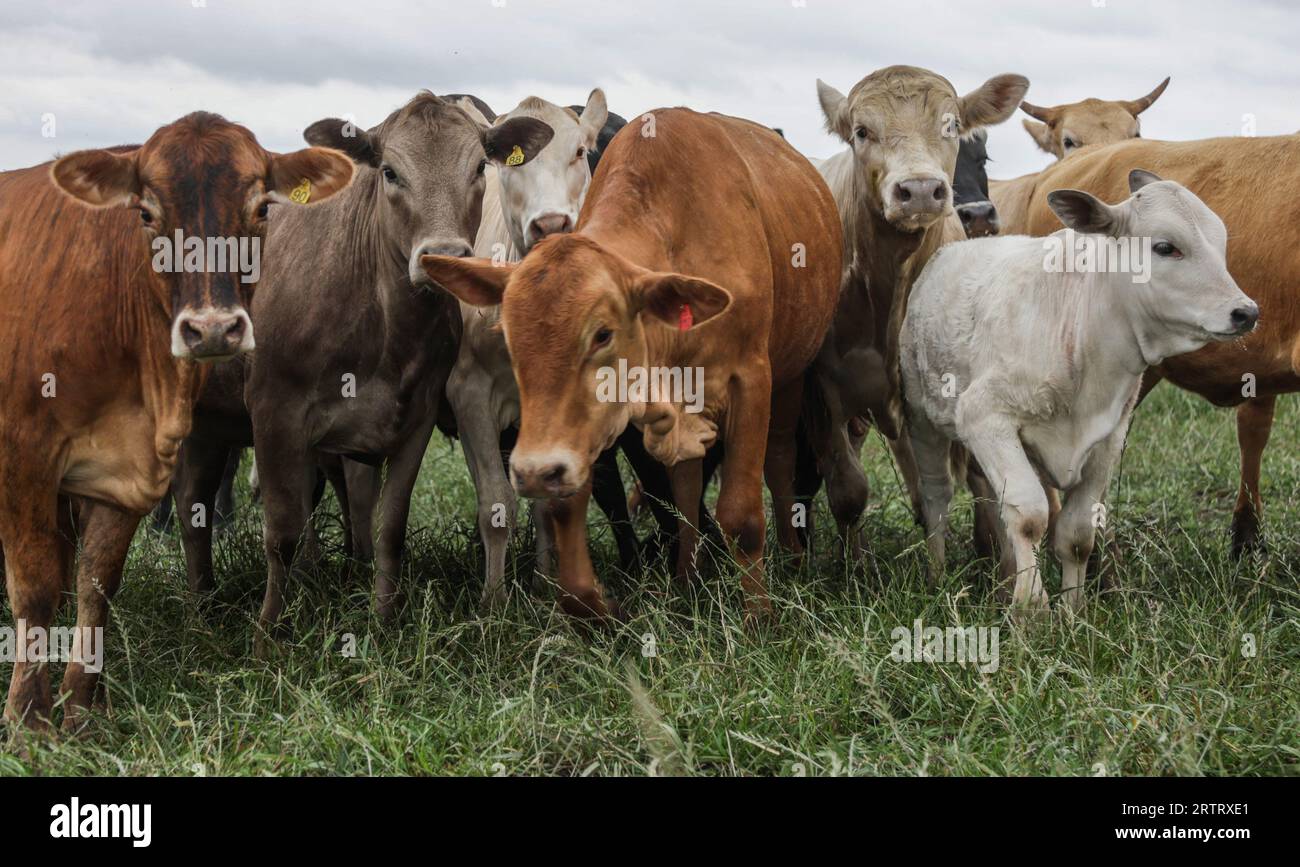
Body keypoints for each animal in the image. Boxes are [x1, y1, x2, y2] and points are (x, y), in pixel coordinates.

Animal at [0, 113, 354, 728]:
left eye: (262, 210)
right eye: (146, 213)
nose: (212, 329)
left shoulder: (126, 469)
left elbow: (98, 581)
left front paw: (81, 713)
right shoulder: (22, 458)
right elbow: (36, 589)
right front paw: (27, 722)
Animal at [242, 93, 552, 647]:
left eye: (479, 167)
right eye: (389, 171)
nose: (442, 256)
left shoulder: (416, 418)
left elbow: (391, 524)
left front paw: (384, 619)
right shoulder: (275, 412)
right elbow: (280, 531)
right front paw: (266, 637)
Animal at [422, 107, 842, 622]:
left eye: (603, 333)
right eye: (512, 339)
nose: (534, 470)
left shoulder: (751, 378)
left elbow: (741, 514)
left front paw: (759, 617)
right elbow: (575, 505)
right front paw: (594, 602)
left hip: (789, 380)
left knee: (779, 462)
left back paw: (793, 557)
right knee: (686, 488)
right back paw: (686, 578)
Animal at [799, 66, 1029, 558]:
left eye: (951, 125)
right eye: (861, 131)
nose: (920, 190)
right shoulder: (821, 389)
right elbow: (848, 490)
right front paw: (853, 567)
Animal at [902, 170, 1257, 617]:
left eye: (1221, 243)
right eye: (1165, 247)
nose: (1245, 312)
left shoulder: (1108, 438)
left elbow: (1076, 532)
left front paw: (1073, 611)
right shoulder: (985, 418)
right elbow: (1029, 516)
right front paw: (1031, 610)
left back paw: (1004, 580)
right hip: (922, 419)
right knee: (937, 497)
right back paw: (937, 574)